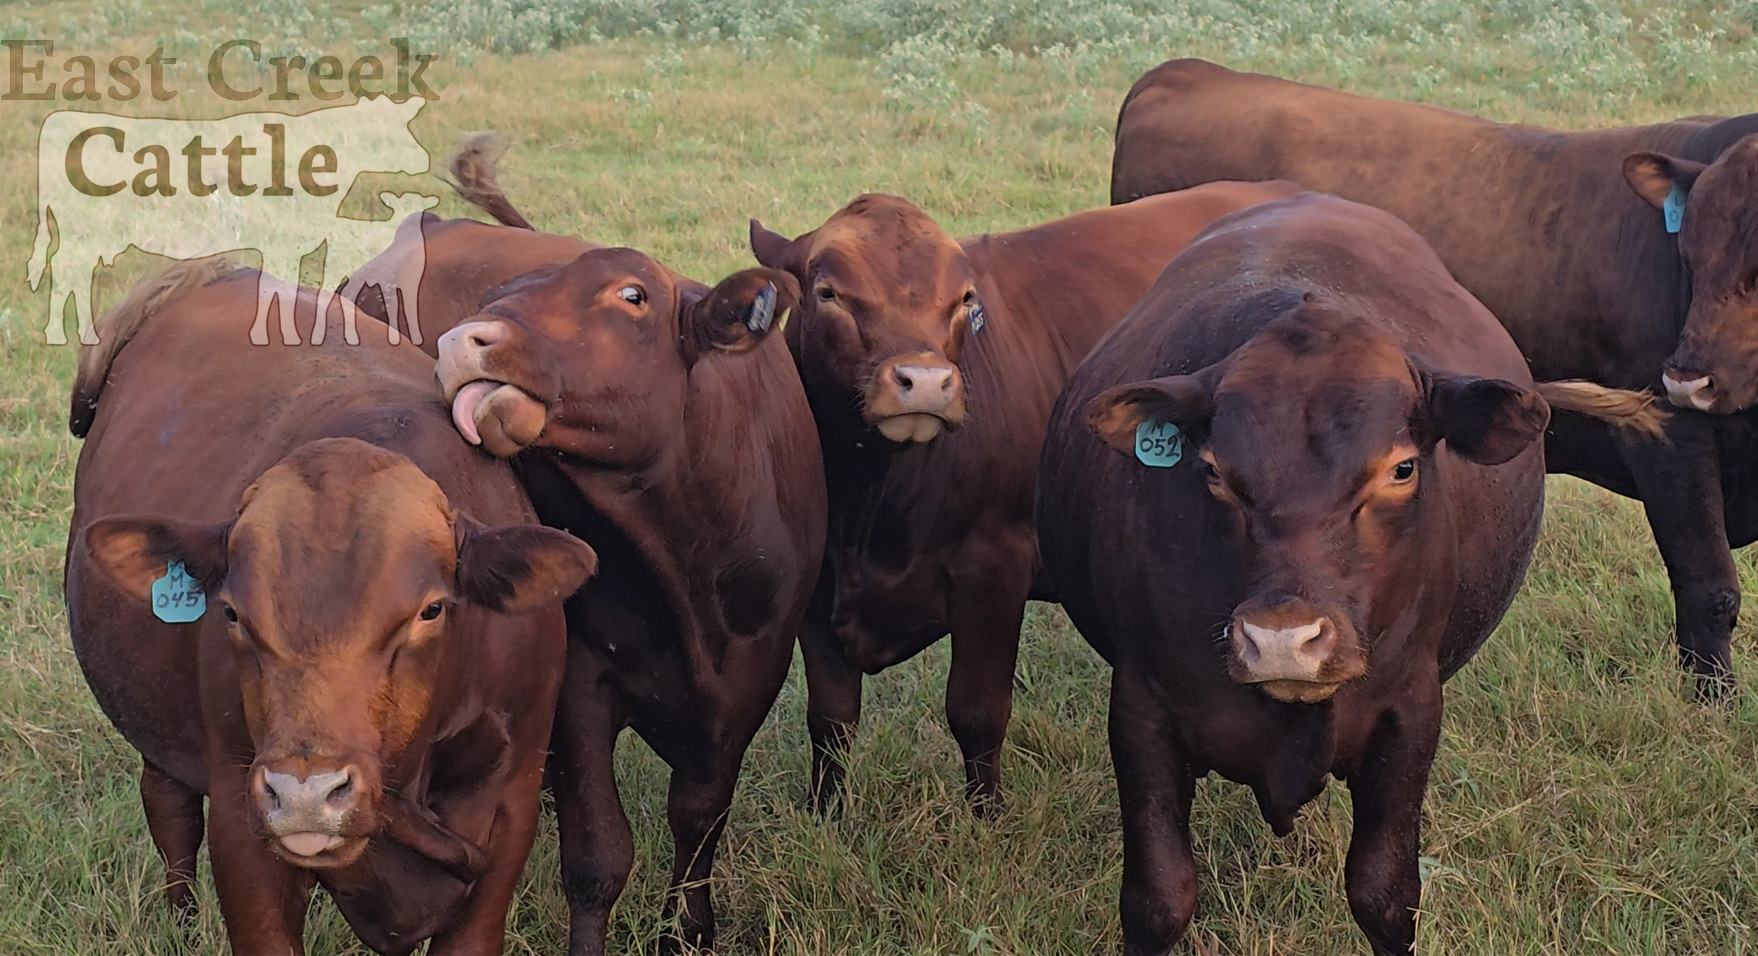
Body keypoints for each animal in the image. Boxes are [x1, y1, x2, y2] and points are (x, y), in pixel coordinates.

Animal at [64, 262, 597, 955]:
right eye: (232, 614)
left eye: (430, 611)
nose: (307, 796)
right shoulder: (242, 820)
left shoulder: (512, 813)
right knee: (170, 809)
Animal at [431, 216, 828, 950]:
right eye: (492, 297)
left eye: (632, 295)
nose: (460, 342)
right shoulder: (582, 682)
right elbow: (598, 855)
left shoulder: (750, 681)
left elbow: (699, 816)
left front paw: (688, 930)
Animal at [744, 180, 1303, 814]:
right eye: (829, 292)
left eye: (964, 300)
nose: (925, 382)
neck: (868, 508)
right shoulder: (818, 592)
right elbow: (831, 721)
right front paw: (827, 813)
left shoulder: (995, 567)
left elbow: (976, 710)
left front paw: (986, 817)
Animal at [1037, 193, 1666, 955]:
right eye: (1212, 470)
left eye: (1402, 468)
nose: (1282, 640)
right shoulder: (1140, 707)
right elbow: (1159, 898)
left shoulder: (1411, 710)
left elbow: (1386, 895)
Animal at [1109, 58, 1758, 695]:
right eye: (1689, 250)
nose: (1689, 378)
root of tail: (1186, 71)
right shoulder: (1668, 441)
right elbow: (1710, 588)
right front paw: (1712, 702)